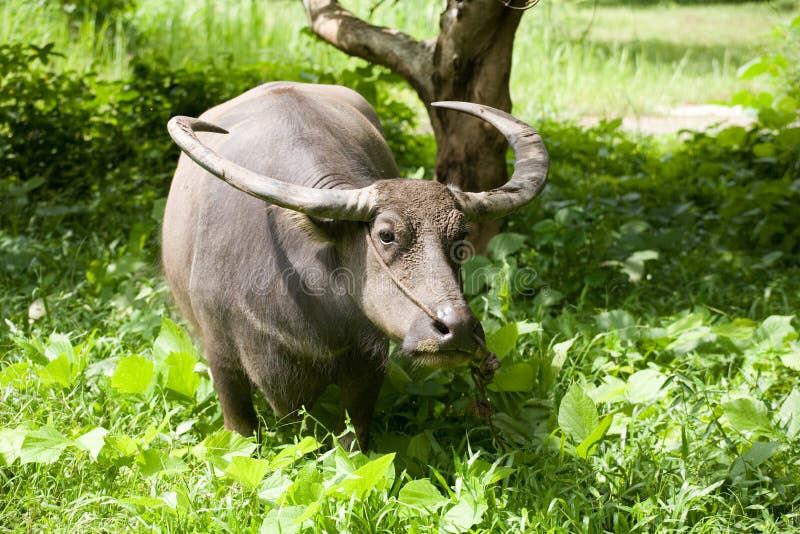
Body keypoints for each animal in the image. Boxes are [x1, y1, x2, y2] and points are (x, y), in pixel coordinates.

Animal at [163, 82, 548, 448]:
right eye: (386, 235)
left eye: (460, 238)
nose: (459, 329)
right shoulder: (221, 356)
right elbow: (241, 429)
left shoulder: (368, 361)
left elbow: (352, 437)